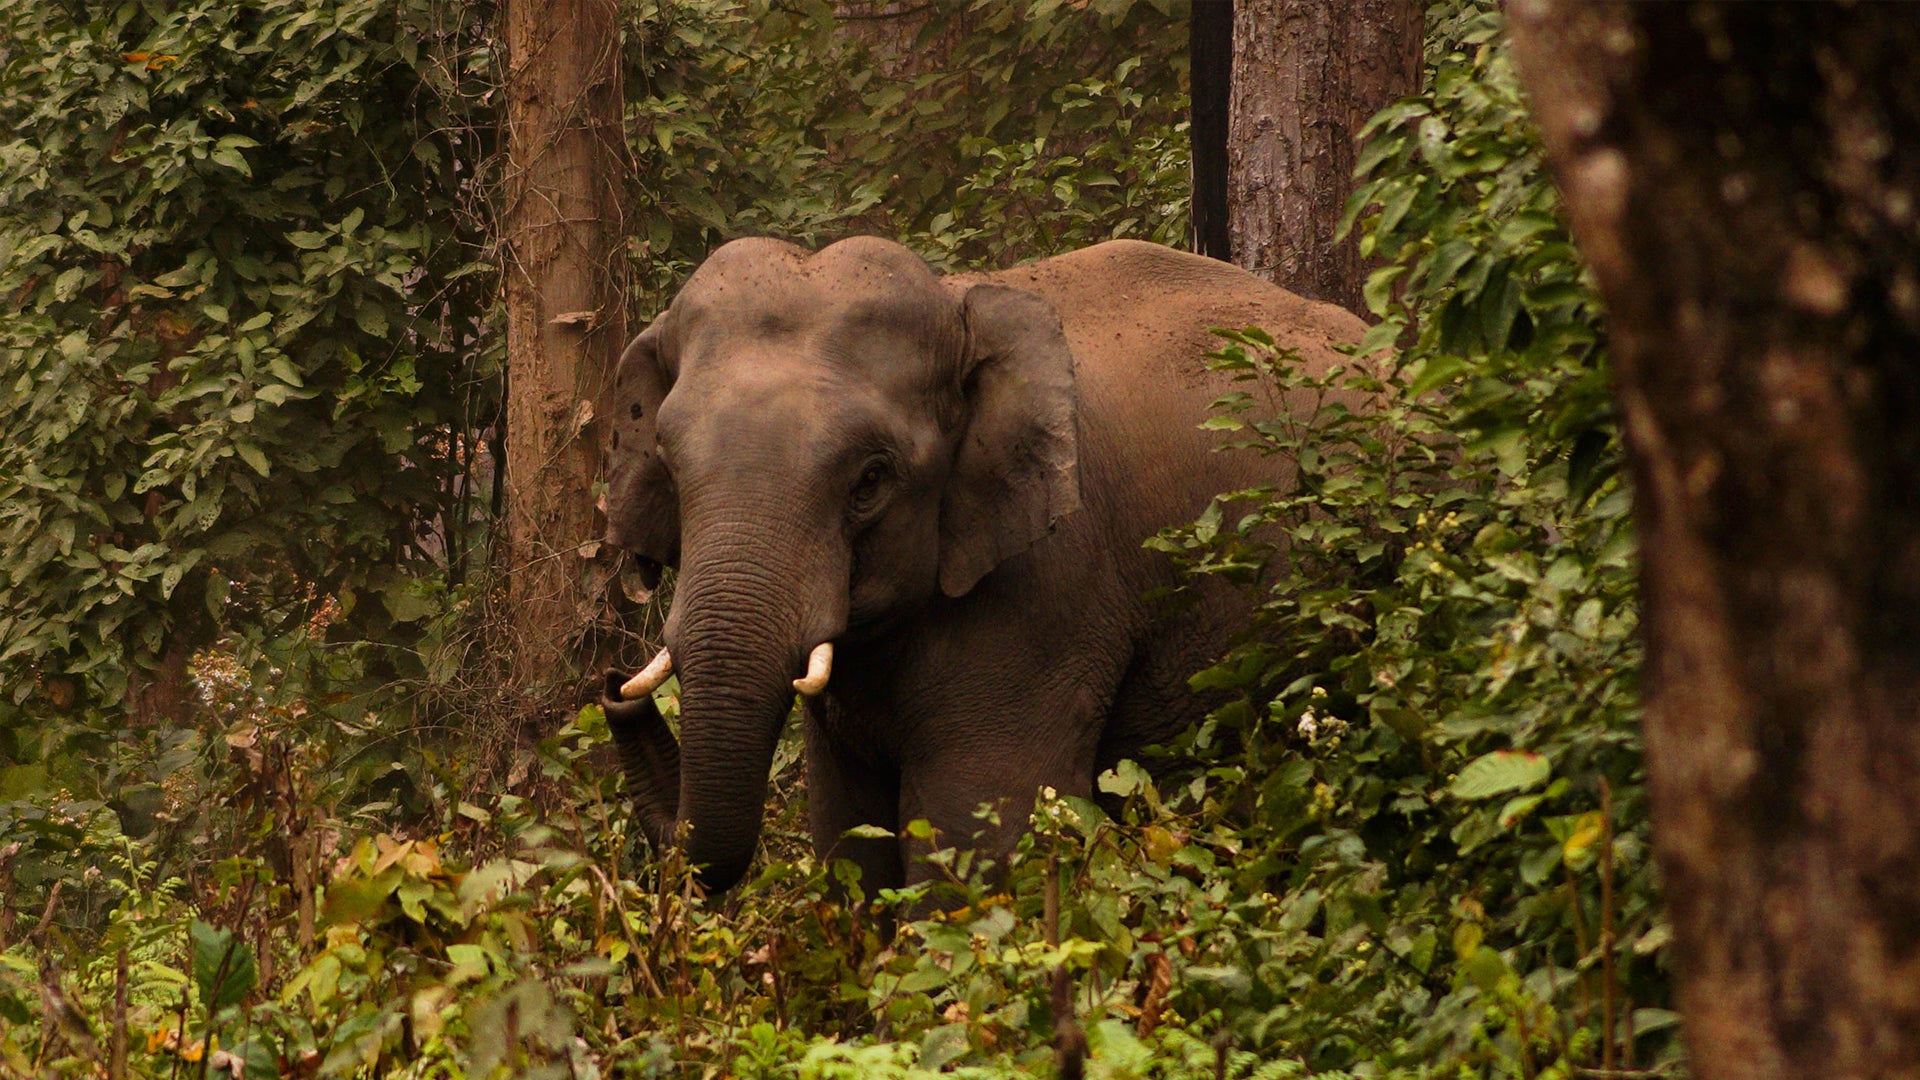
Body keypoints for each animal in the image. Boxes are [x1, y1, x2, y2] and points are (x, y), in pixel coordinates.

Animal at [598, 236, 1366, 897]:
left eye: (870, 480)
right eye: (668, 461)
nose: (612, 686)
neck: (961, 302)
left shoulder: (1050, 596)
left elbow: (979, 841)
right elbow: (850, 839)